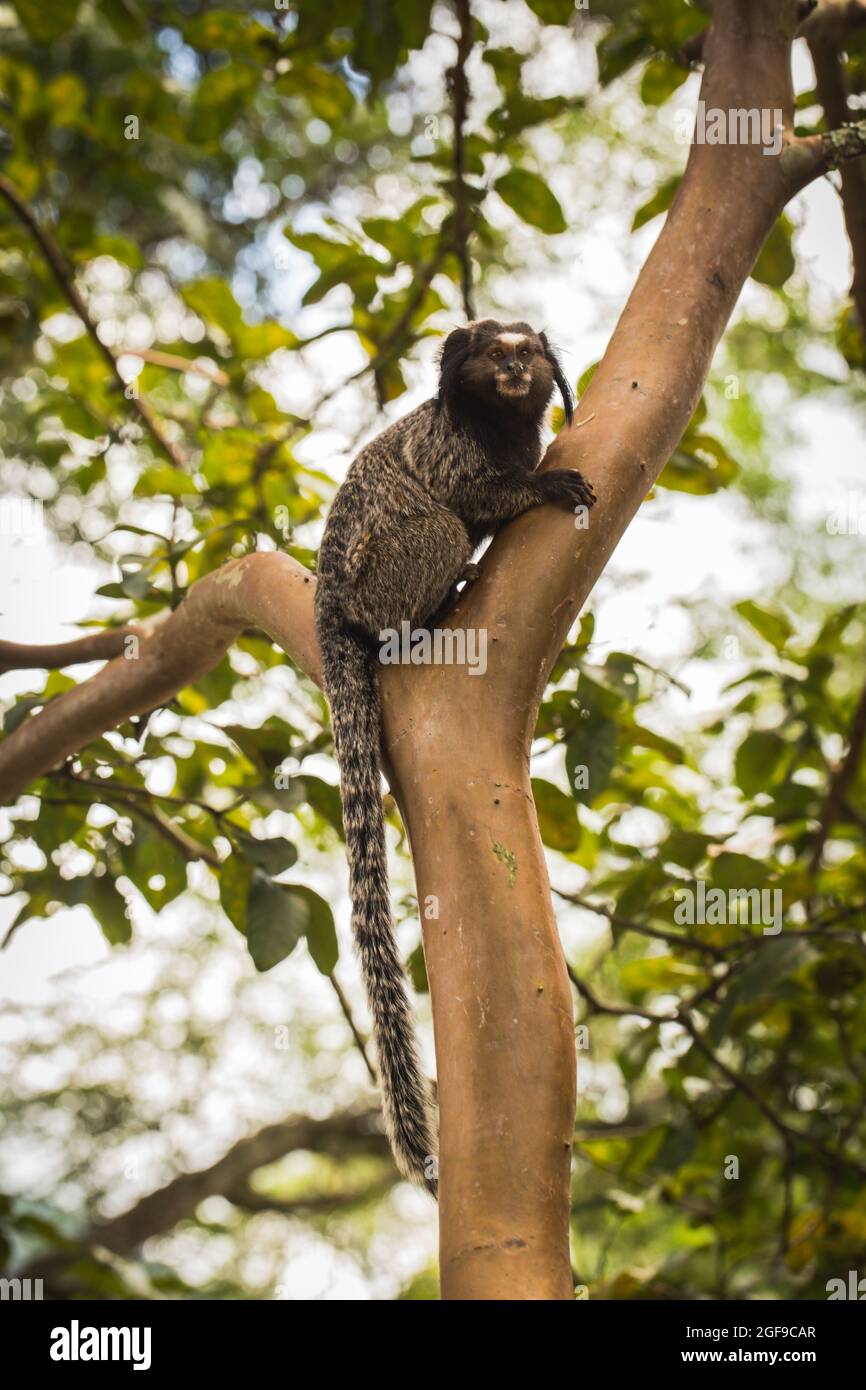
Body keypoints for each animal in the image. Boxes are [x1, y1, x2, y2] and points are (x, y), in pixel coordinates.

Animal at [313, 319, 596, 1193]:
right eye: (489, 354)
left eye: (526, 354)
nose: (510, 368)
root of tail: (330, 602)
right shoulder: (444, 447)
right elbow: (467, 497)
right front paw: (540, 486)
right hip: (379, 576)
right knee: (435, 526)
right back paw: (426, 613)